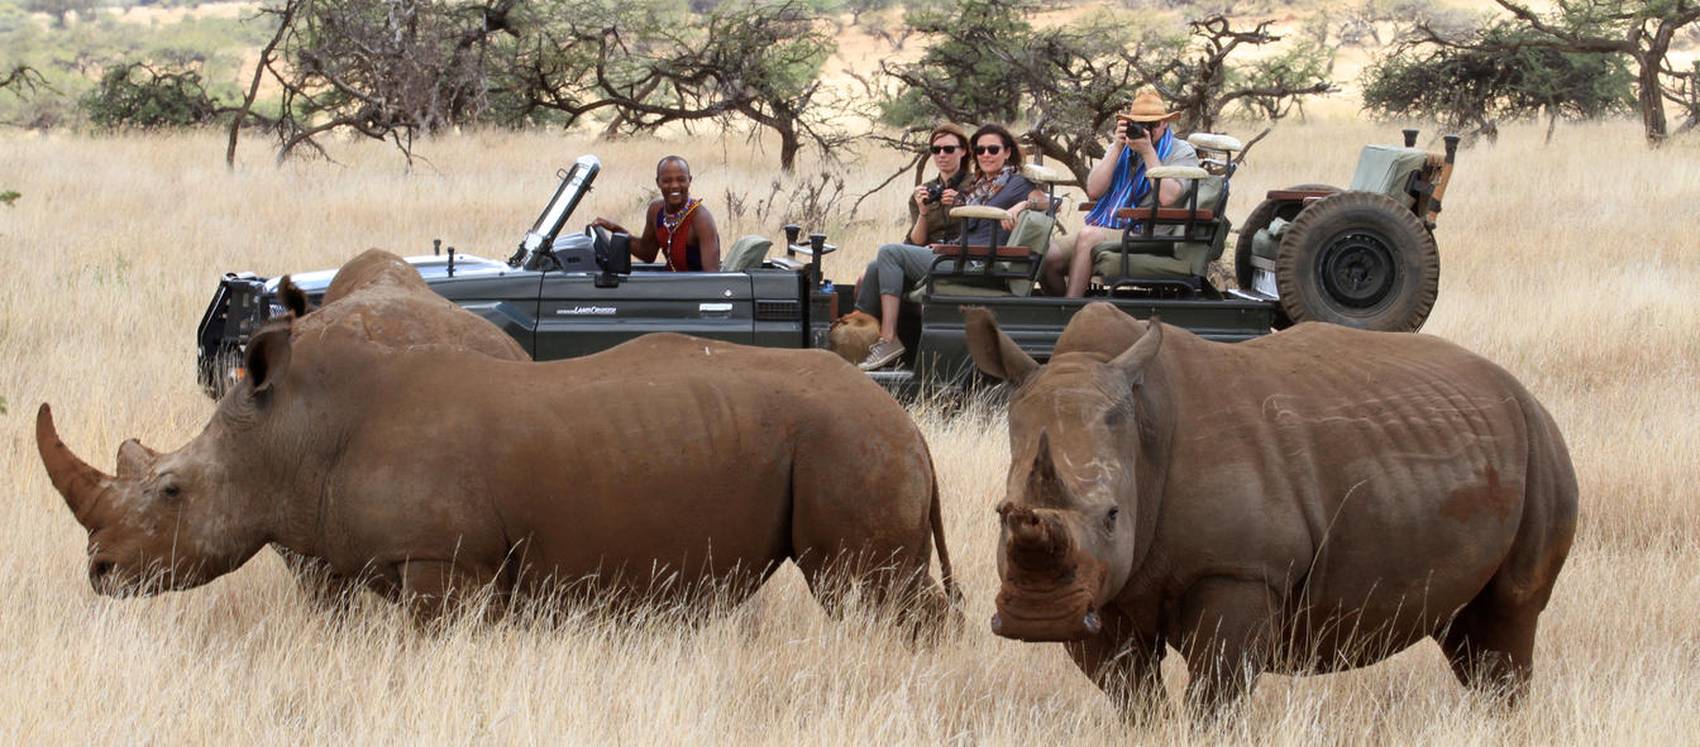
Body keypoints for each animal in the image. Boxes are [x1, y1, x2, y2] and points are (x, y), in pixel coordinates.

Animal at [38, 317, 958, 628]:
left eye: (171, 490)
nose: (99, 572)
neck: (290, 431)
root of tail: (913, 429)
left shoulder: (445, 562)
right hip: (854, 439)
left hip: (850, 442)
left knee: (863, 593)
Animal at [964, 303, 1576, 714]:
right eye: (1001, 512)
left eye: (1113, 515)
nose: (1038, 619)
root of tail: (1520, 389)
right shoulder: (1100, 592)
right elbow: (1133, 697)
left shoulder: (1239, 570)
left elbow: (1215, 696)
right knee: (1466, 632)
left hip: (1543, 444)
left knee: (1511, 617)